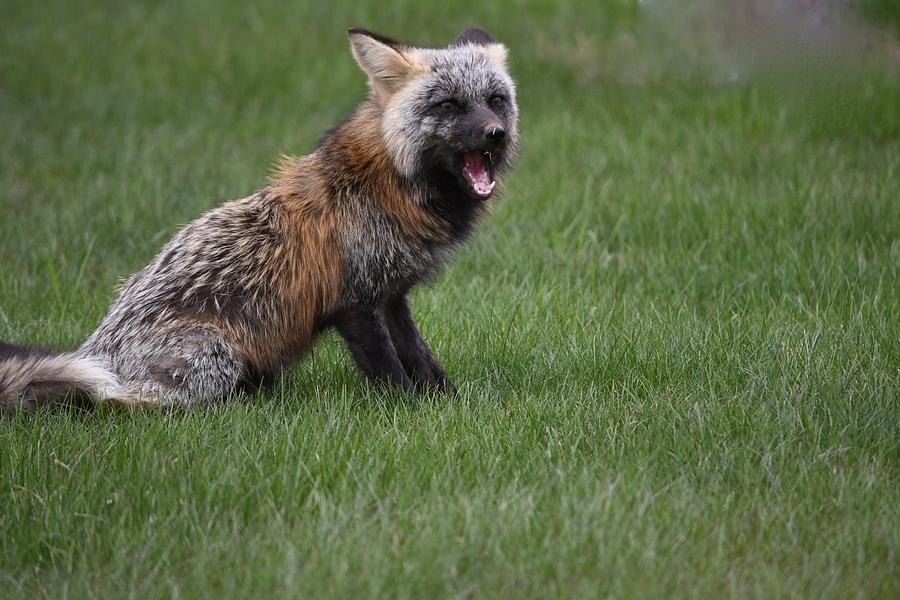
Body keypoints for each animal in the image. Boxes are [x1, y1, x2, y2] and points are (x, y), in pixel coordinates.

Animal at [0, 27, 519, 411]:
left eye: (495, 100)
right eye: (448, 105)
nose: (495, 134)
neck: (388, 182)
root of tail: (97, 346)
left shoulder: (391, 295)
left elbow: (420, 356)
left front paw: (447, 402)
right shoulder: (354, 301)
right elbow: (390, 369)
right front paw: (407, 410)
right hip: (211, 360)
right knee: (115, 401)